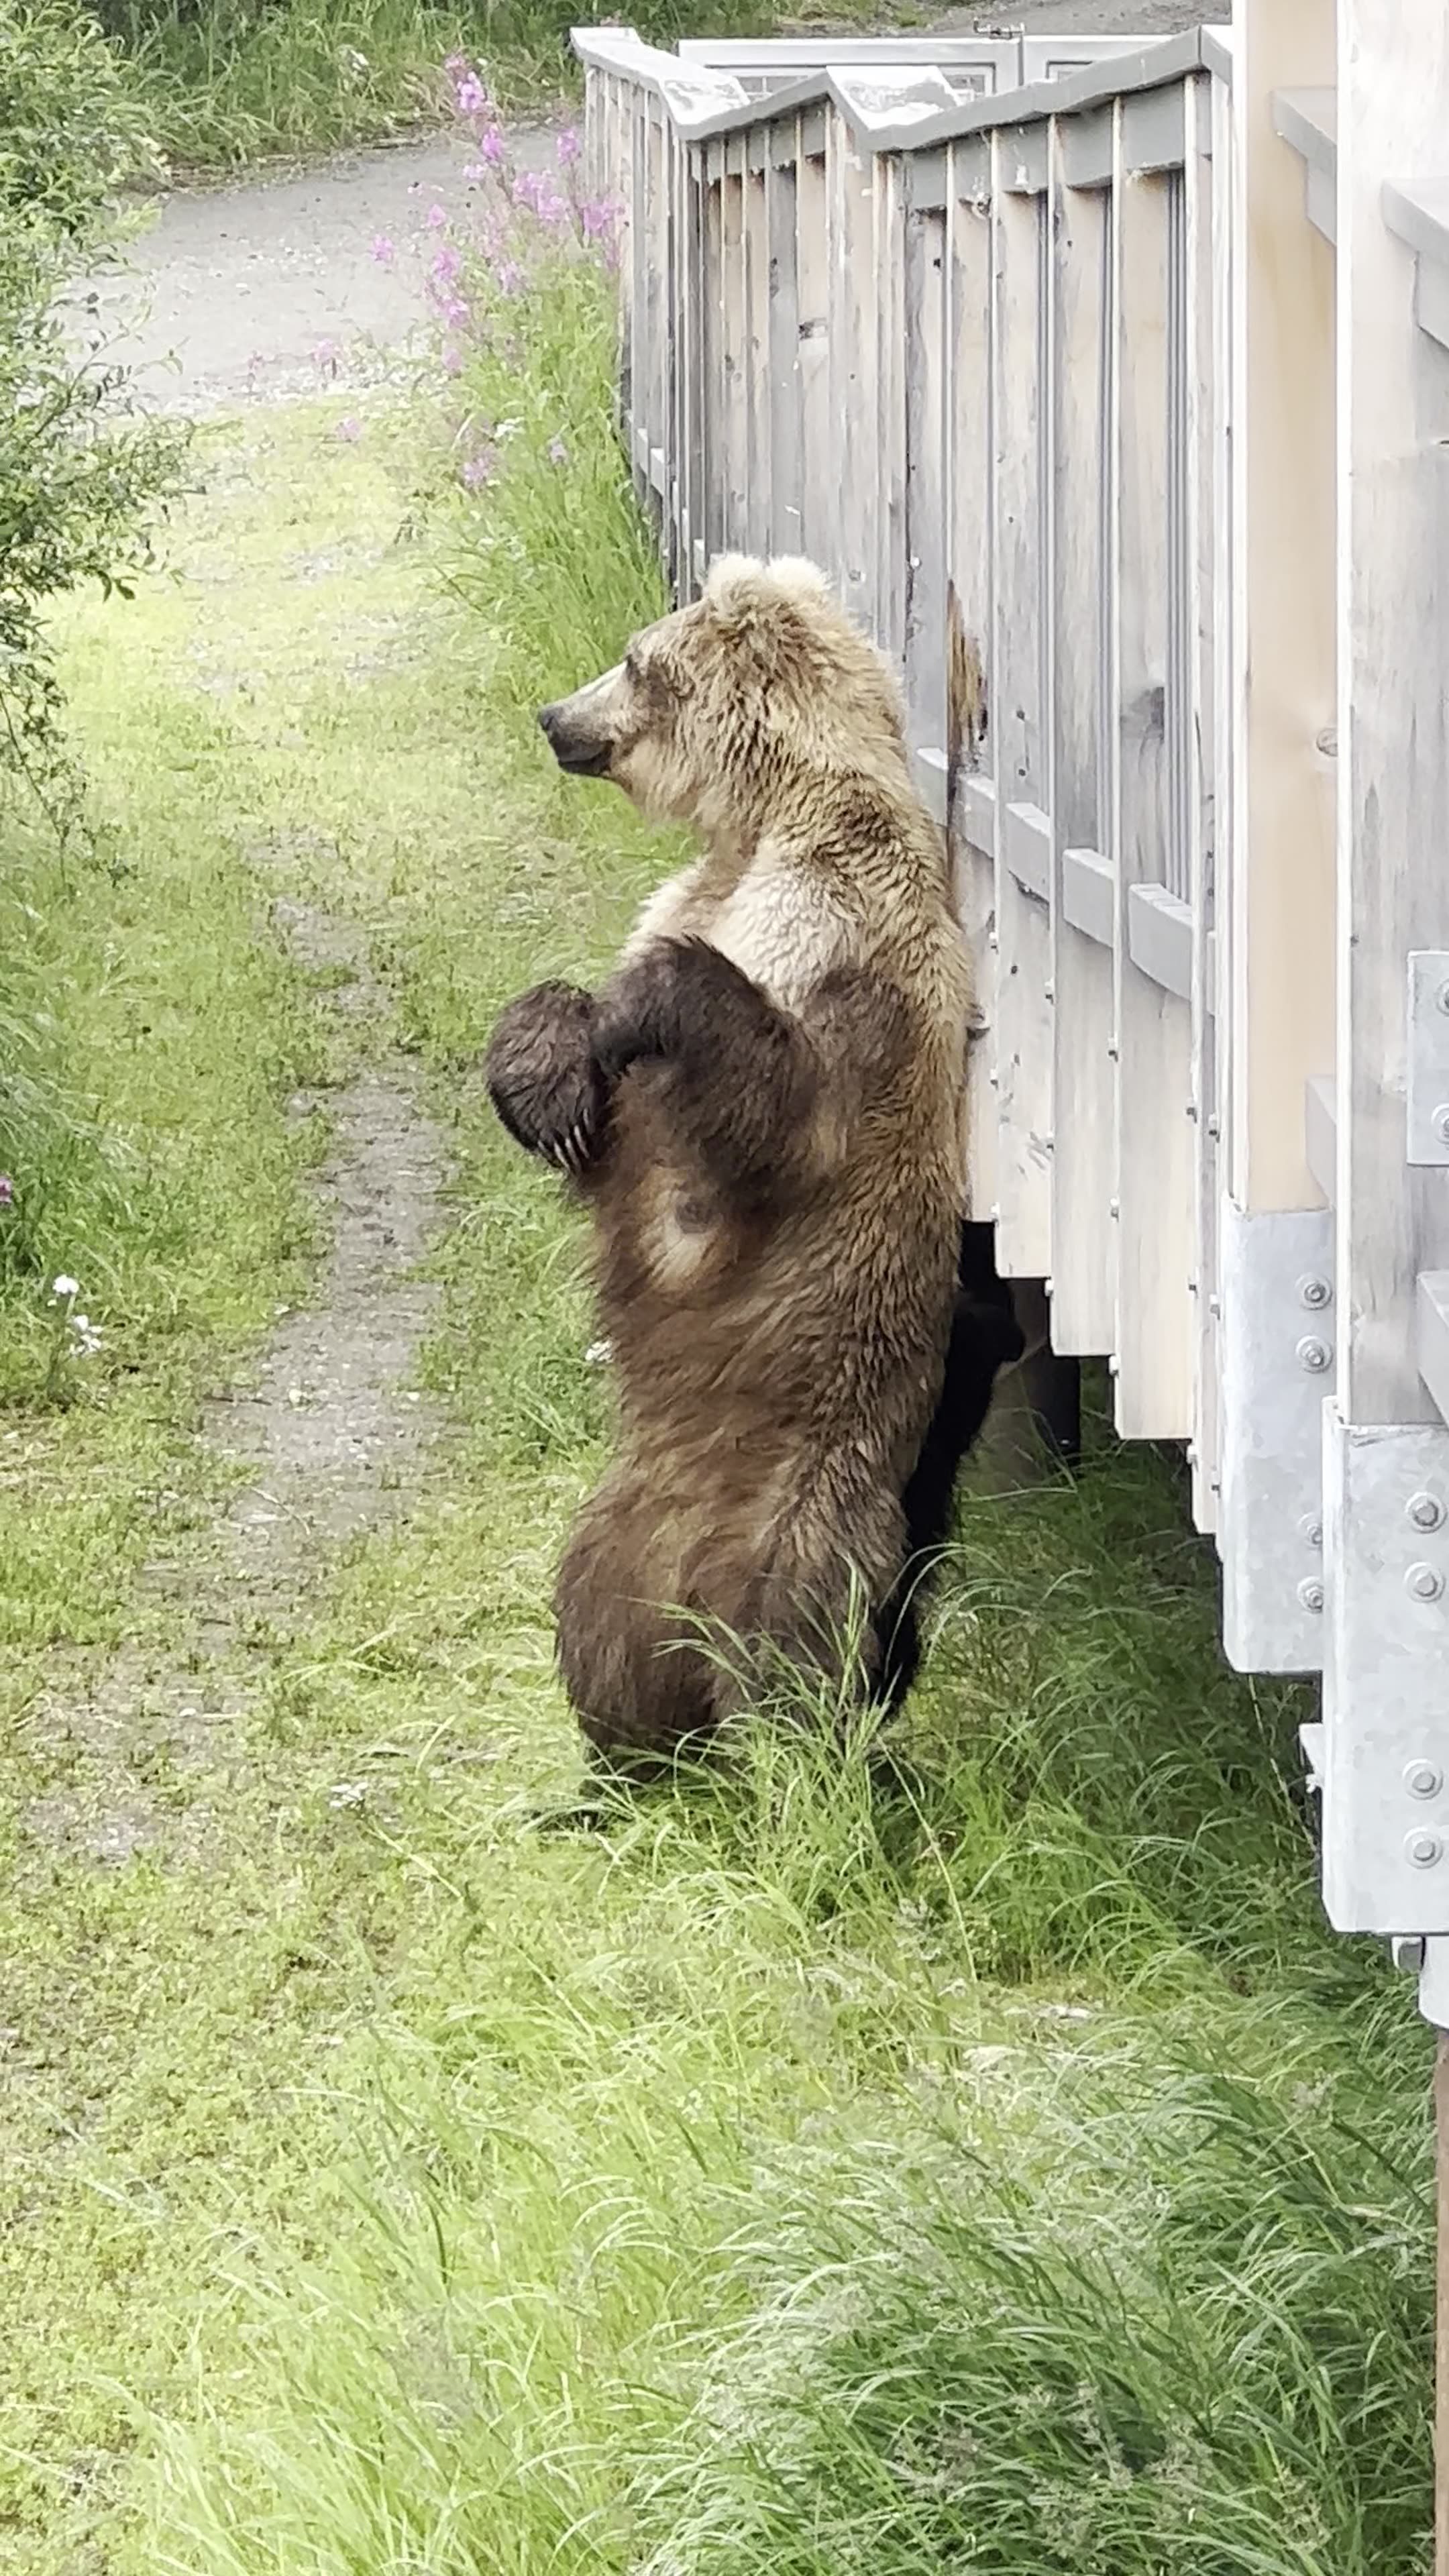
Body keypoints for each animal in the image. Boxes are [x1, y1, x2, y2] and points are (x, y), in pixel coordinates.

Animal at [485, 554, 1020, 1773]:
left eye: (635, 658)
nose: (551, 716)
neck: (771, 821)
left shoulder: (852, 942)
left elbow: (784, 1103)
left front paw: (642, 1005)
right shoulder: (702, 894)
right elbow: (598, 1112)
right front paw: (553, 1079)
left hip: (808, 1512)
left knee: (799, 1652)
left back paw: (797, 1763)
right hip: (619, 1525)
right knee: (595, 1627)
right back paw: (622, 1762)